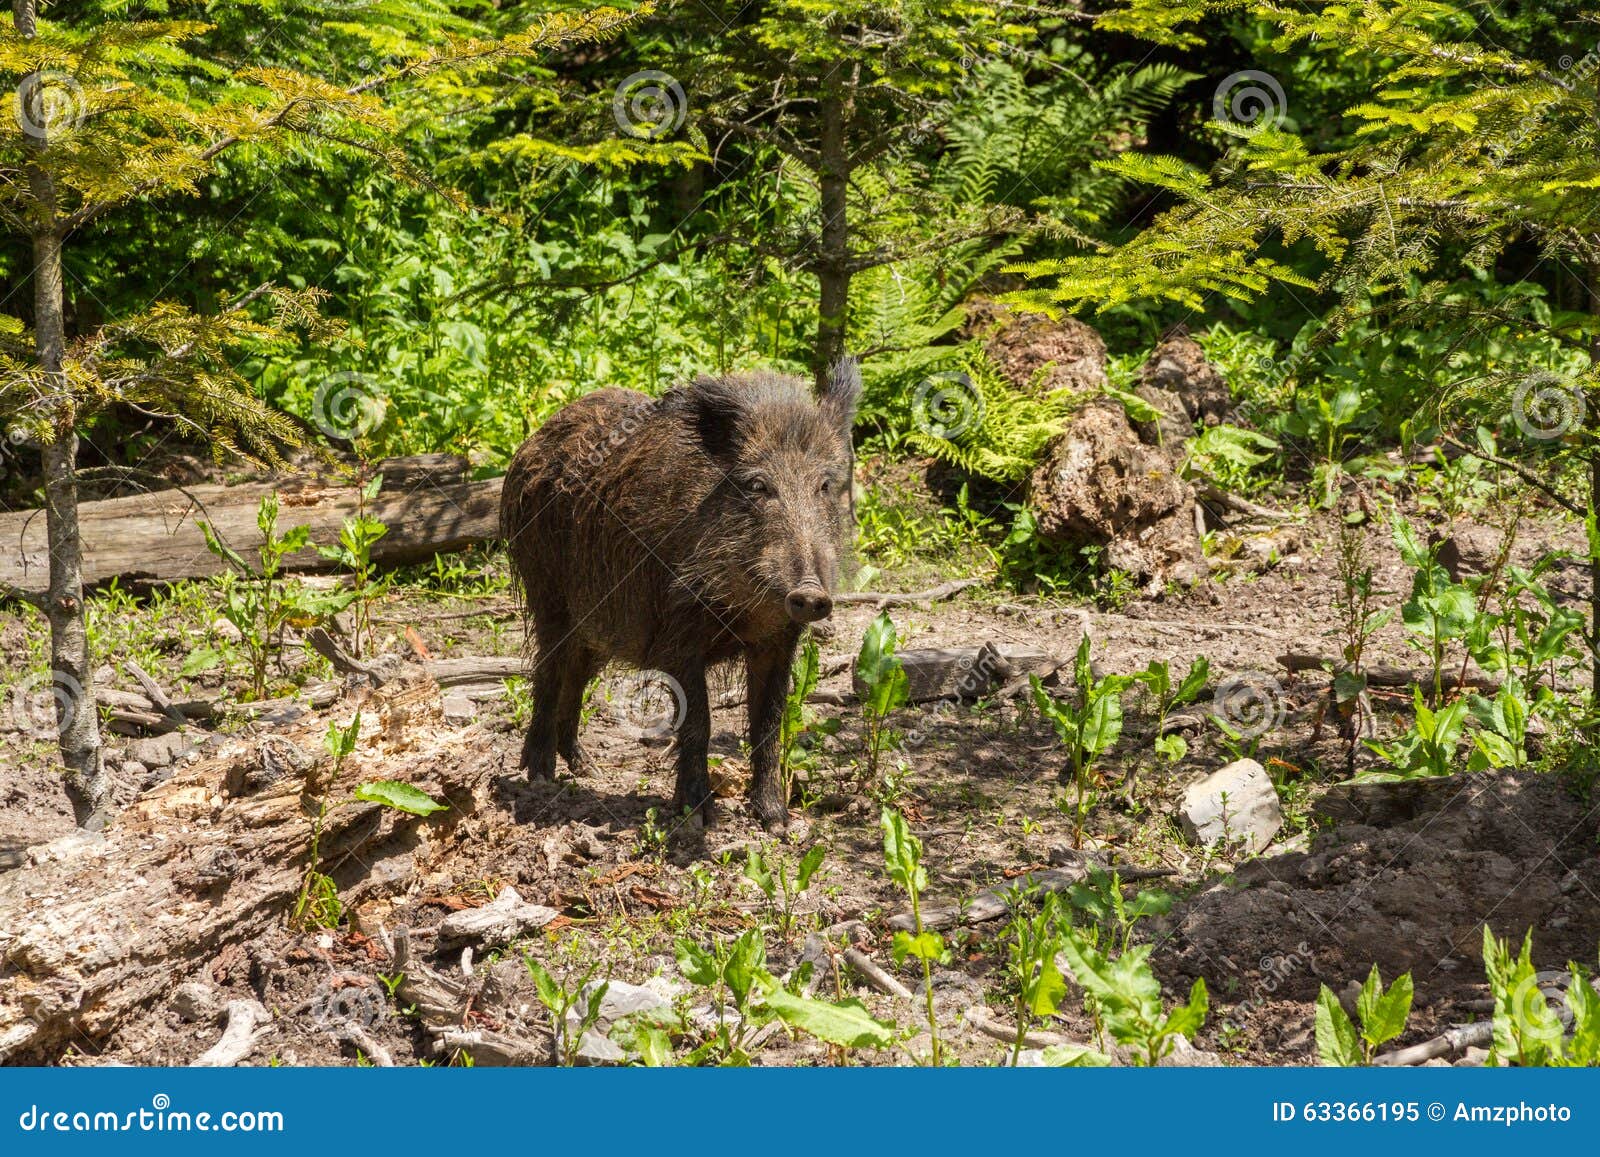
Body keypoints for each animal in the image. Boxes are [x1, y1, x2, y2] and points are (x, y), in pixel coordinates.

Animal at [501, 358, 860, 830]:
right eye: (758, 486)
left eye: (824, 486)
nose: (811, 595)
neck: (747, 610)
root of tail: (530, 444)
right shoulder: (677, 635)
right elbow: (699, 721)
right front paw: (699, 817)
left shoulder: (778, 640)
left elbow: (768, 723)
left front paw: (777, 820)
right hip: (547, 590)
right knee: (547, 671)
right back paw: (541, 776)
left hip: (597, 623)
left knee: (576, 674)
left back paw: (586, 768)